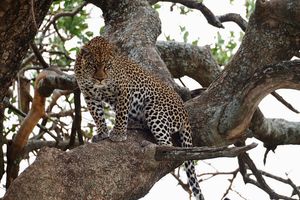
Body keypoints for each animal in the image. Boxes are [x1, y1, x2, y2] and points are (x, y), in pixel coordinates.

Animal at [74, 36, 204, 200]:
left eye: (107, 67)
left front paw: (118, 134)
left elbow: (121, 114)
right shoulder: (89, 95)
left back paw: (159, 146)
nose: (100, 79)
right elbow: (97, 116)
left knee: (168, 144)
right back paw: (135, 124)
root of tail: (185, 112)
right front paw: (102, 132)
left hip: (154, 109)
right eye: (93, 66)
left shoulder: (123, 89)